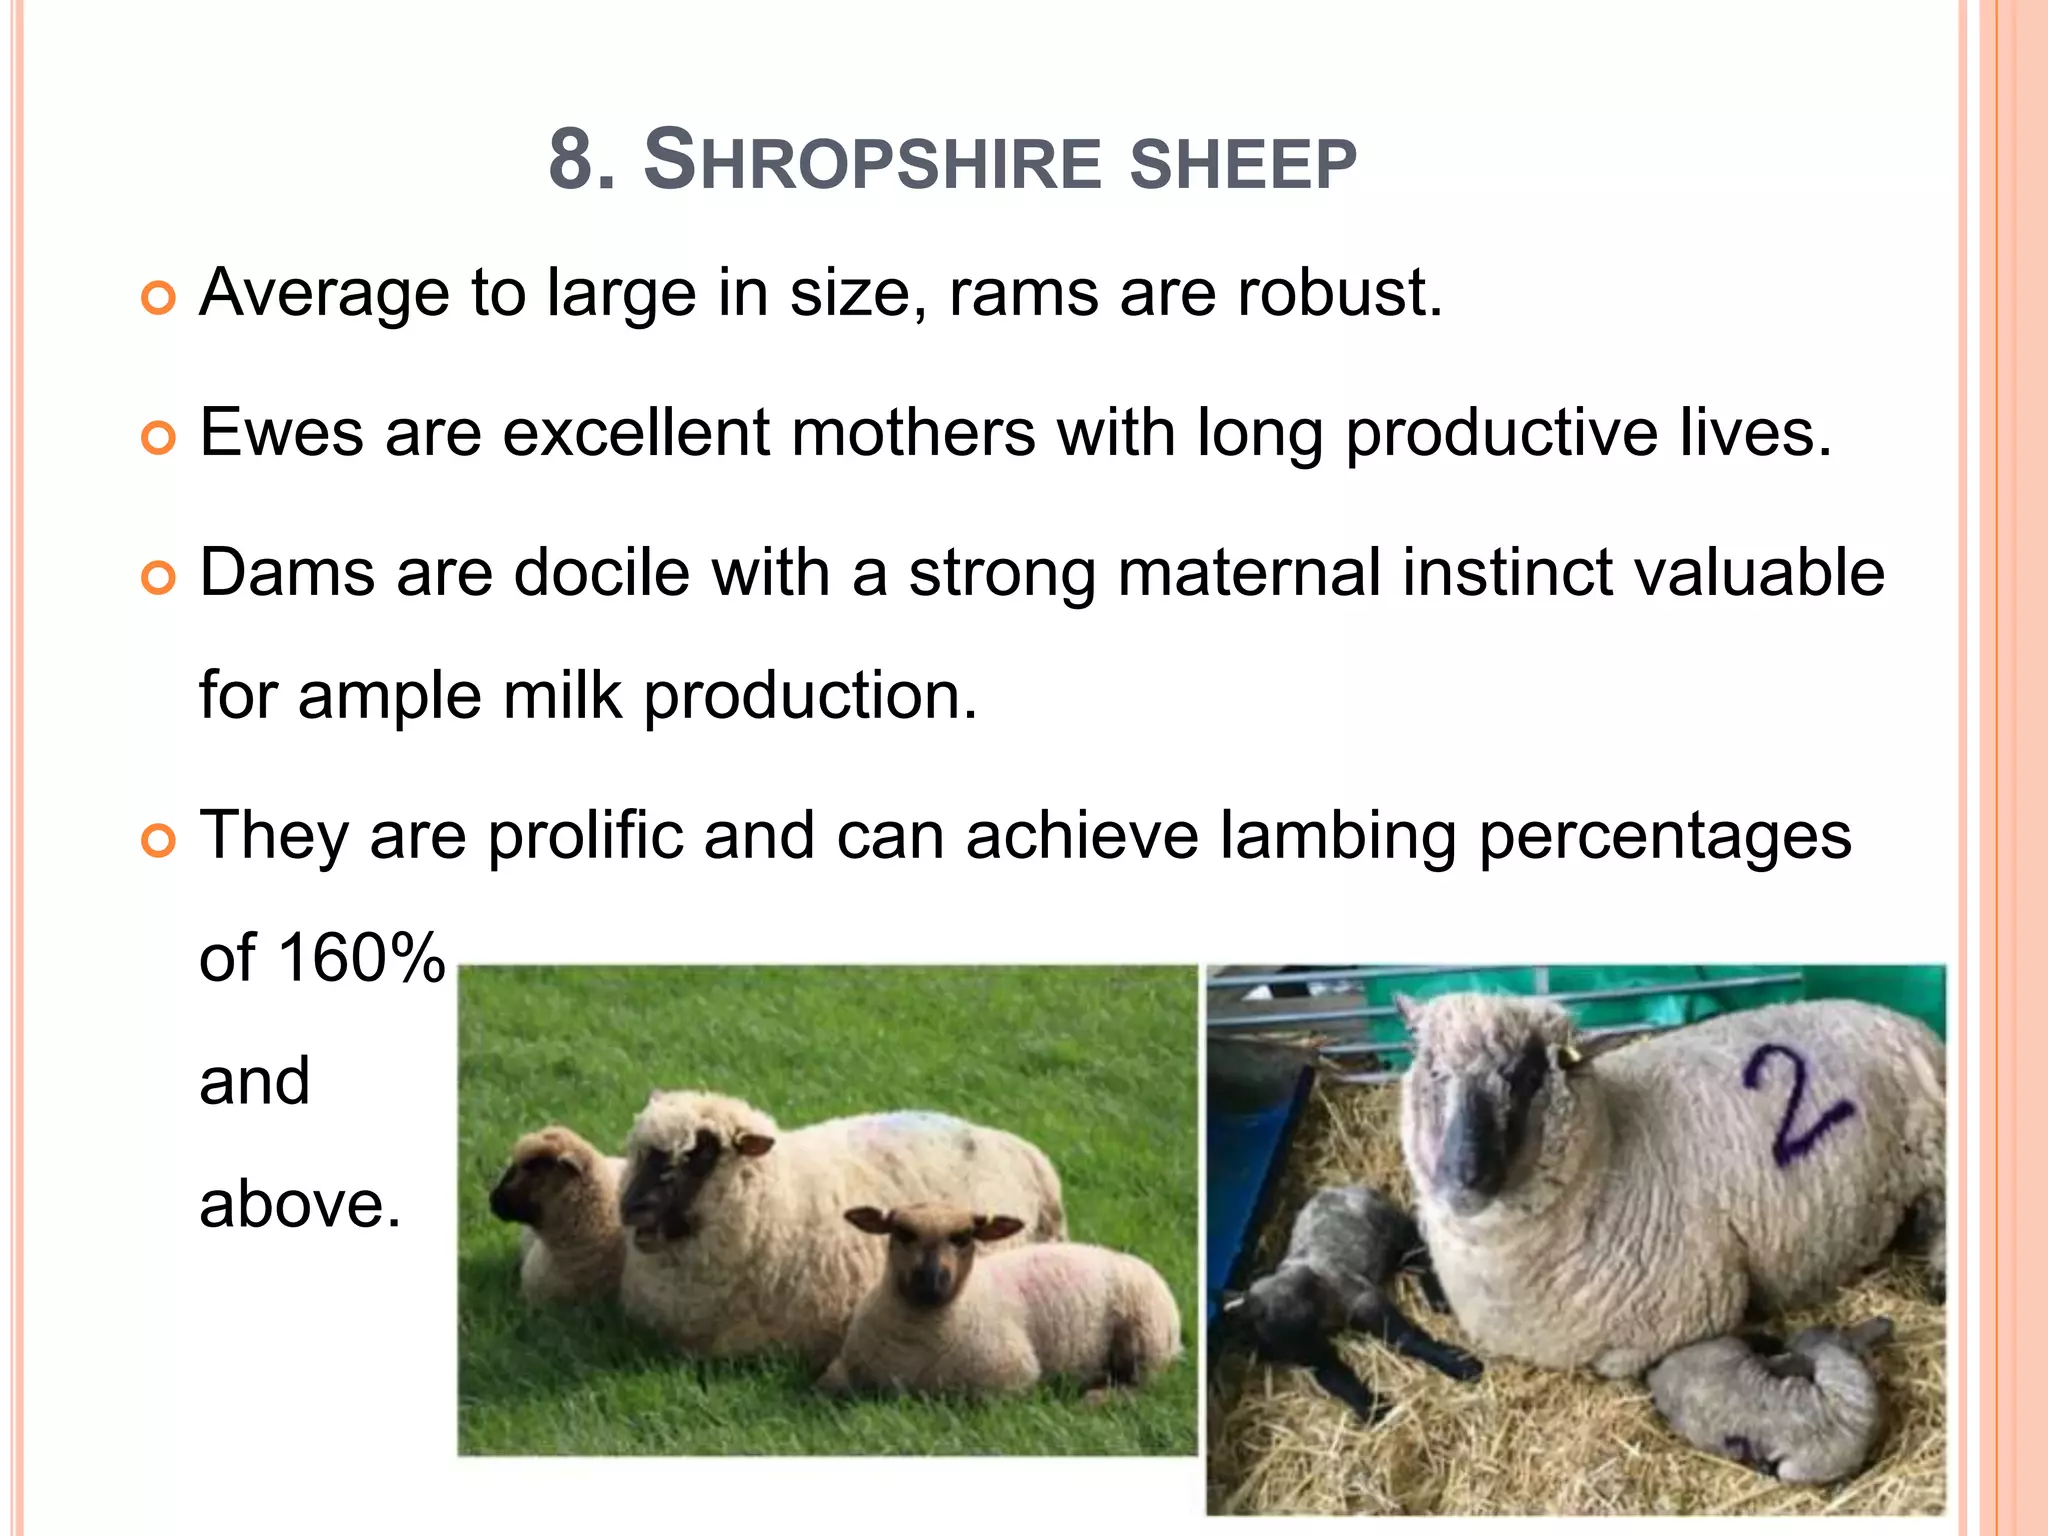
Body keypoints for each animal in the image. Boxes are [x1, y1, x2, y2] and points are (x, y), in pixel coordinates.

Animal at [818, 1201, 1182, 1399]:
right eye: (902, 1233)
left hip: (1146, 1343)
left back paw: (1094, 1397)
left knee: (1140, 1387)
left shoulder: (1011, 1381)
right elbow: (825, 1387)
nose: (930, 1280)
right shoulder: (840, 1371)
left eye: (964, 1237)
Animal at [1218, 1185, 1481, 1423]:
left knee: (1418, 1247)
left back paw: (1438, 1296)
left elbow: (1405, 1338)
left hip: (1393, 1228)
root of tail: (1342, 1187)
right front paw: (1371, 1408)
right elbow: (1335, 1376)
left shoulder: (1364, 1300)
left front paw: (1461, 1364)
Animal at [1397, 992, 1945, 1378]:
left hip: (1933, 1156)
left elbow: (1612, 1365)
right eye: (1434, 1072)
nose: (1462, 1179)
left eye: (1526, 1076)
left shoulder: (1683, 1320)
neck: (1609, 1160)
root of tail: (1896, 1016)